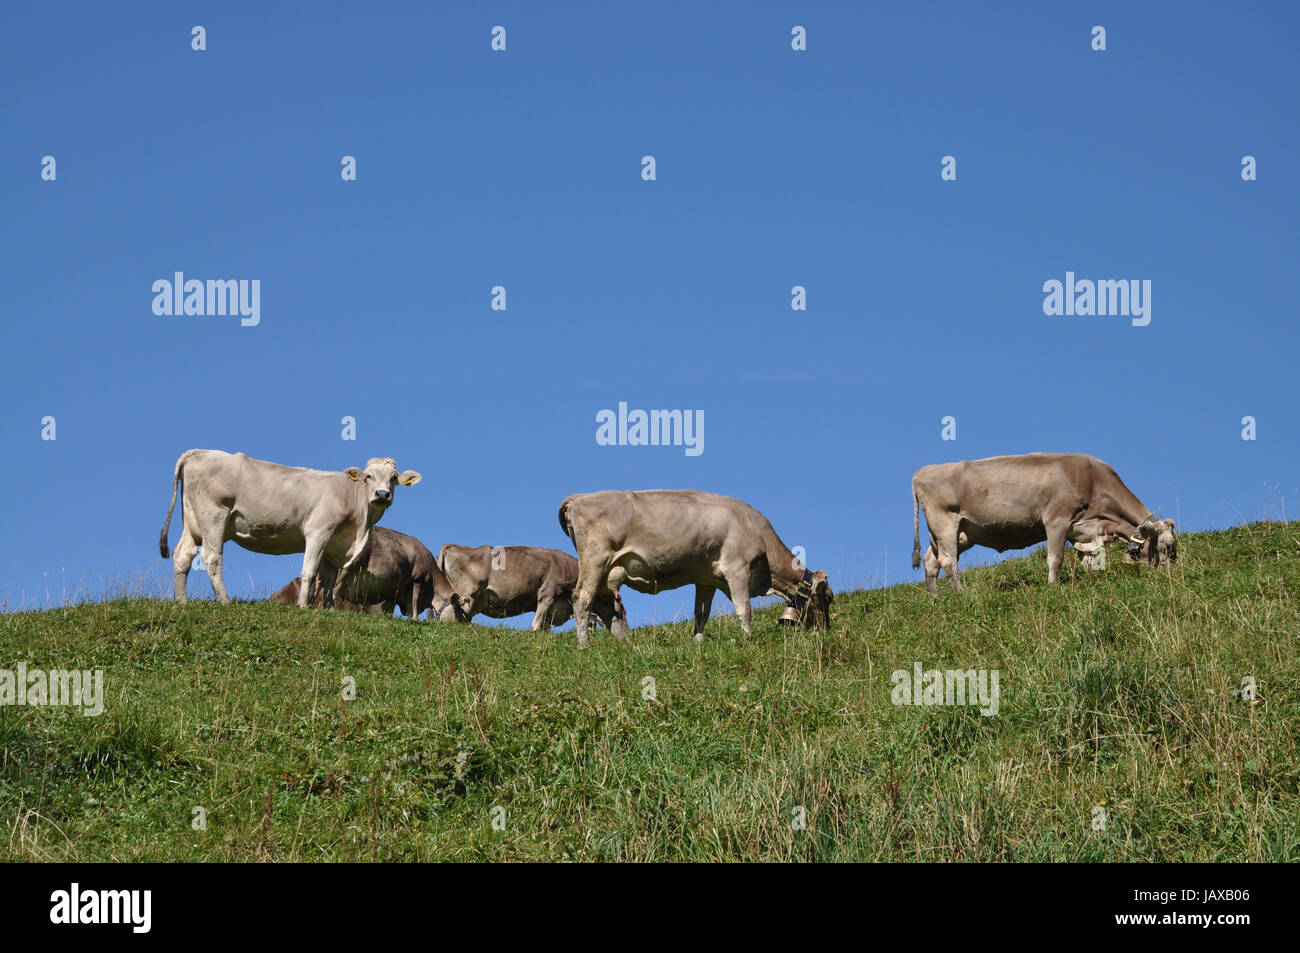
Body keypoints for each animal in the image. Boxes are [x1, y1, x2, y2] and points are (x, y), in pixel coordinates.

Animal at [159, 450, 421, 607]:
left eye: (394, 478)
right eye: (368, 476)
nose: (382, 494)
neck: (358, 528)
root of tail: (198, 452)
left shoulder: (332, 545)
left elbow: (329, 578)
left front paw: (328, 609)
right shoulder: (318, 532)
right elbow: (309, 571)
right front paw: (303, 606)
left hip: (193, 523)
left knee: (182, 555)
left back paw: (181, 601)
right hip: (214, 516)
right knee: (212, 557)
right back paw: (224, 601)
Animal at [267, 526, 457, 619]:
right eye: (461, 610)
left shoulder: (393, 593)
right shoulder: (417, 580)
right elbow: (415, 604)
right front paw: (415, 620)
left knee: (317, 588)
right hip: (344, 571)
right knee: (332, 591)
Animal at [558, 489, 833, 647]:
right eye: (828, 598)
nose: (826, 630)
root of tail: (578, 498)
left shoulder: (707, 579)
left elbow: (701, 613)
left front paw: (698, 643)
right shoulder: (737, 568)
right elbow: (744, 610)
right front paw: (748, 638)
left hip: (608, 569)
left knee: (605, 605)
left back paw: (627, 645)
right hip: (595, 558)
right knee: (582, 598)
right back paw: (584, 645)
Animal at [911, 452, 1177, 595]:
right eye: (1166, 547)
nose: (1170, 575)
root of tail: (922, 472)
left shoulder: (1083, 531)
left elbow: (1088, 561)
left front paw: (1089, 585)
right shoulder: (1057, 519)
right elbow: (1055, 558)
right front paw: (1052, 587)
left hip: (962, 532)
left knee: (931, 559)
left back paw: (934, 598)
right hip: (944, 523)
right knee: (948, 562)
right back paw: (961, 594)